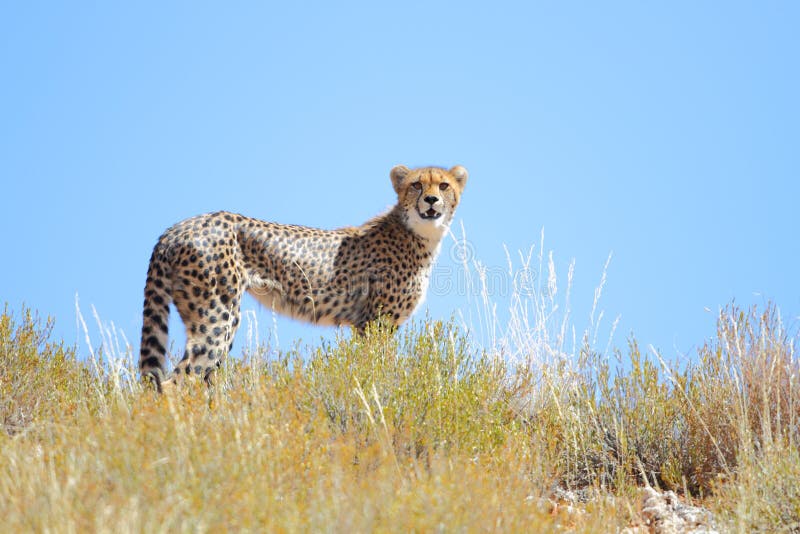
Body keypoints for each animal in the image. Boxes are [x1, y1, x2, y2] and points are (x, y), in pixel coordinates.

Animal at [138, 164, 468, 390]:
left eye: (443, 185)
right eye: (416, 185)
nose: (431, 200)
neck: (418, 234)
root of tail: (177, 227)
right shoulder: (375, 323)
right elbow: (379, 369)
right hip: (217, 315)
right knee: (175, 382)